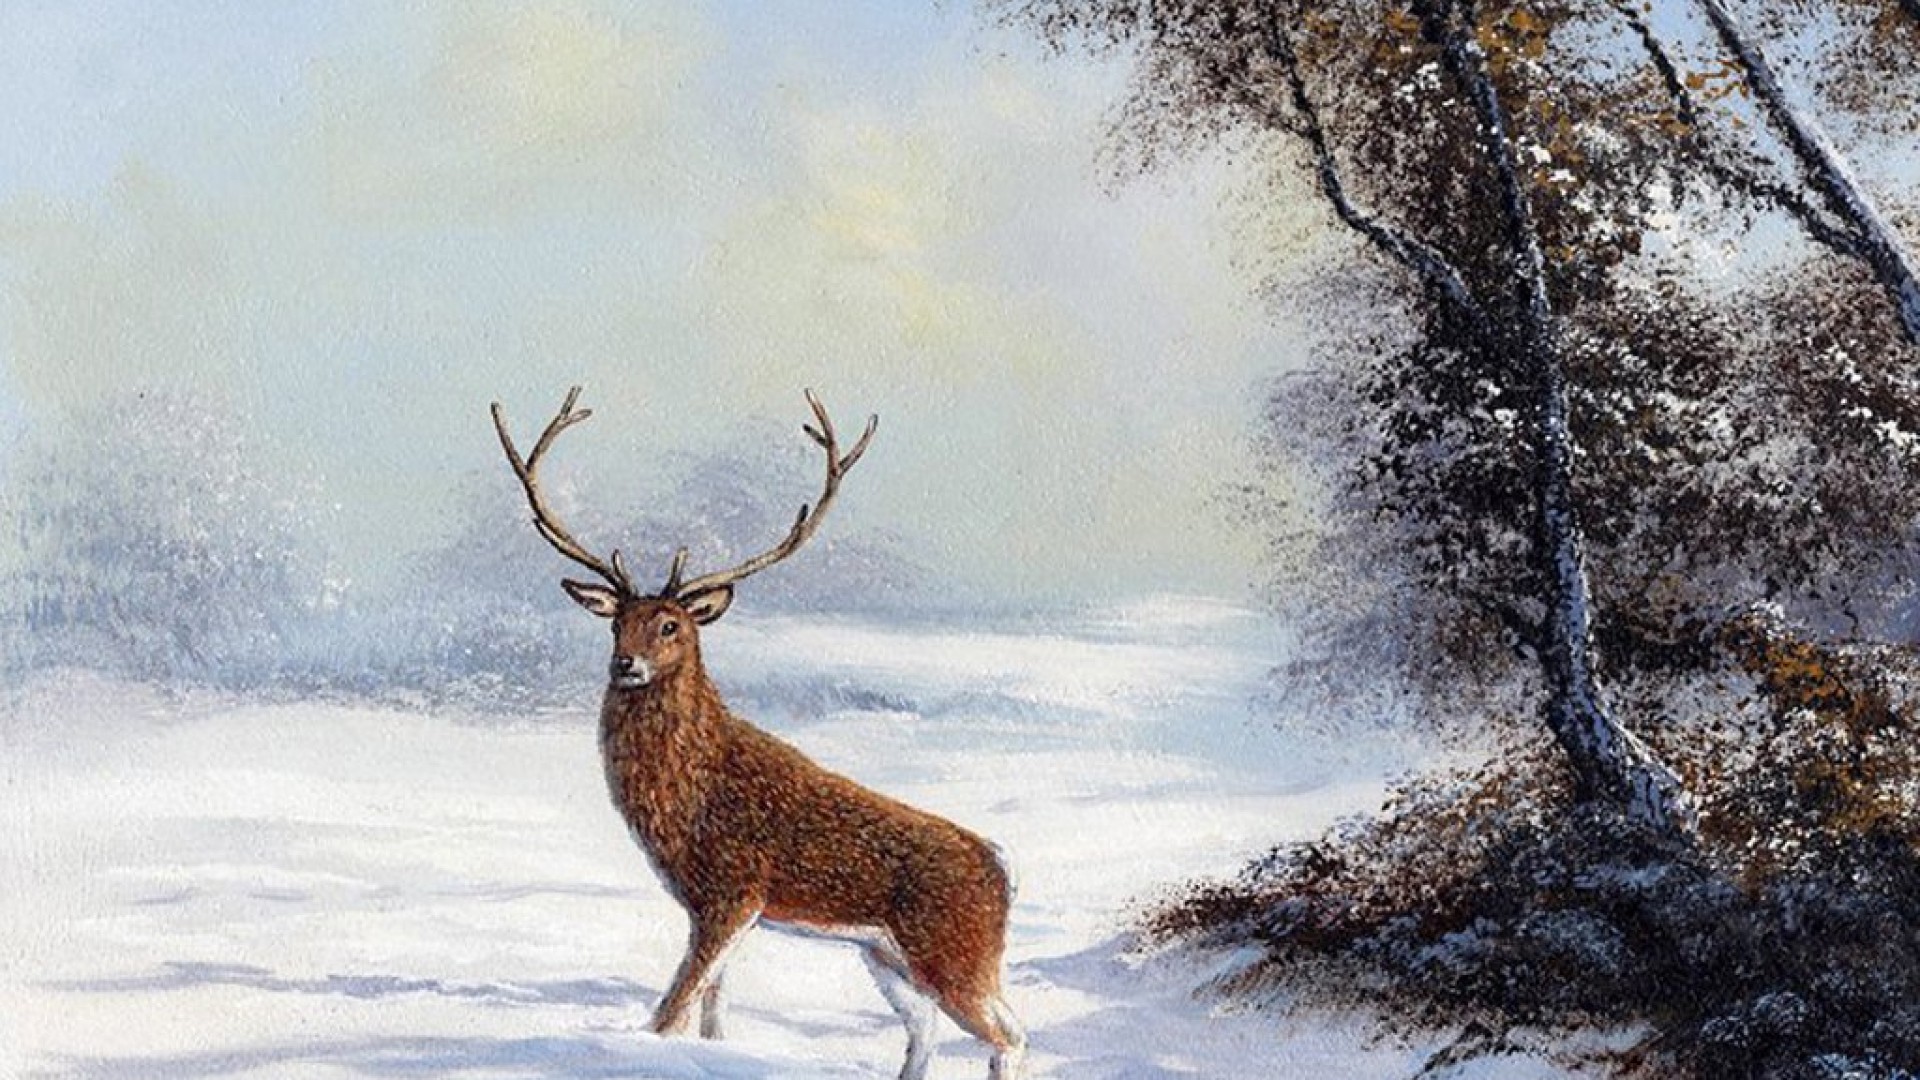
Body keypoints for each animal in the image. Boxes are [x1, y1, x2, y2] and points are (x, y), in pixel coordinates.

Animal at [491, 387, 1027, 1080]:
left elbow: (671, 1011)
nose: (625, 664)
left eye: (671, 625)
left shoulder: (733, 891)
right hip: (887, 957)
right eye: (617, 623)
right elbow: (712, 1014)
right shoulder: (718, 911)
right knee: (928, 1030)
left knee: (1009, 1034)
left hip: (953, 952)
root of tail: (1004, 869)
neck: (687, 794)